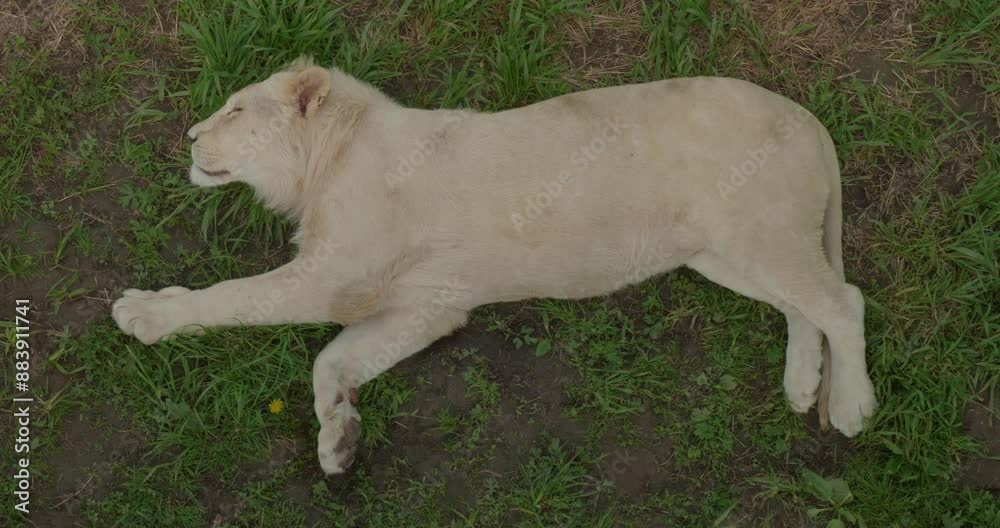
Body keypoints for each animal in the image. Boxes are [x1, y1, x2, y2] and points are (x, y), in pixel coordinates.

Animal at [112, 57, 877, 474]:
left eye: (236, 109)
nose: (190, 136)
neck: (326, 162)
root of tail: (807, 115)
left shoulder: (334, 279)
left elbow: (235, 298)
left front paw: (145, 313)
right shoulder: (430, 305)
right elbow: (333, 361)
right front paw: (339, 439)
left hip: (755, 235)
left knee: (846, 300)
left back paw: (849, 403)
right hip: (724, 252)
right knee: (806, 302)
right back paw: (801, 381)